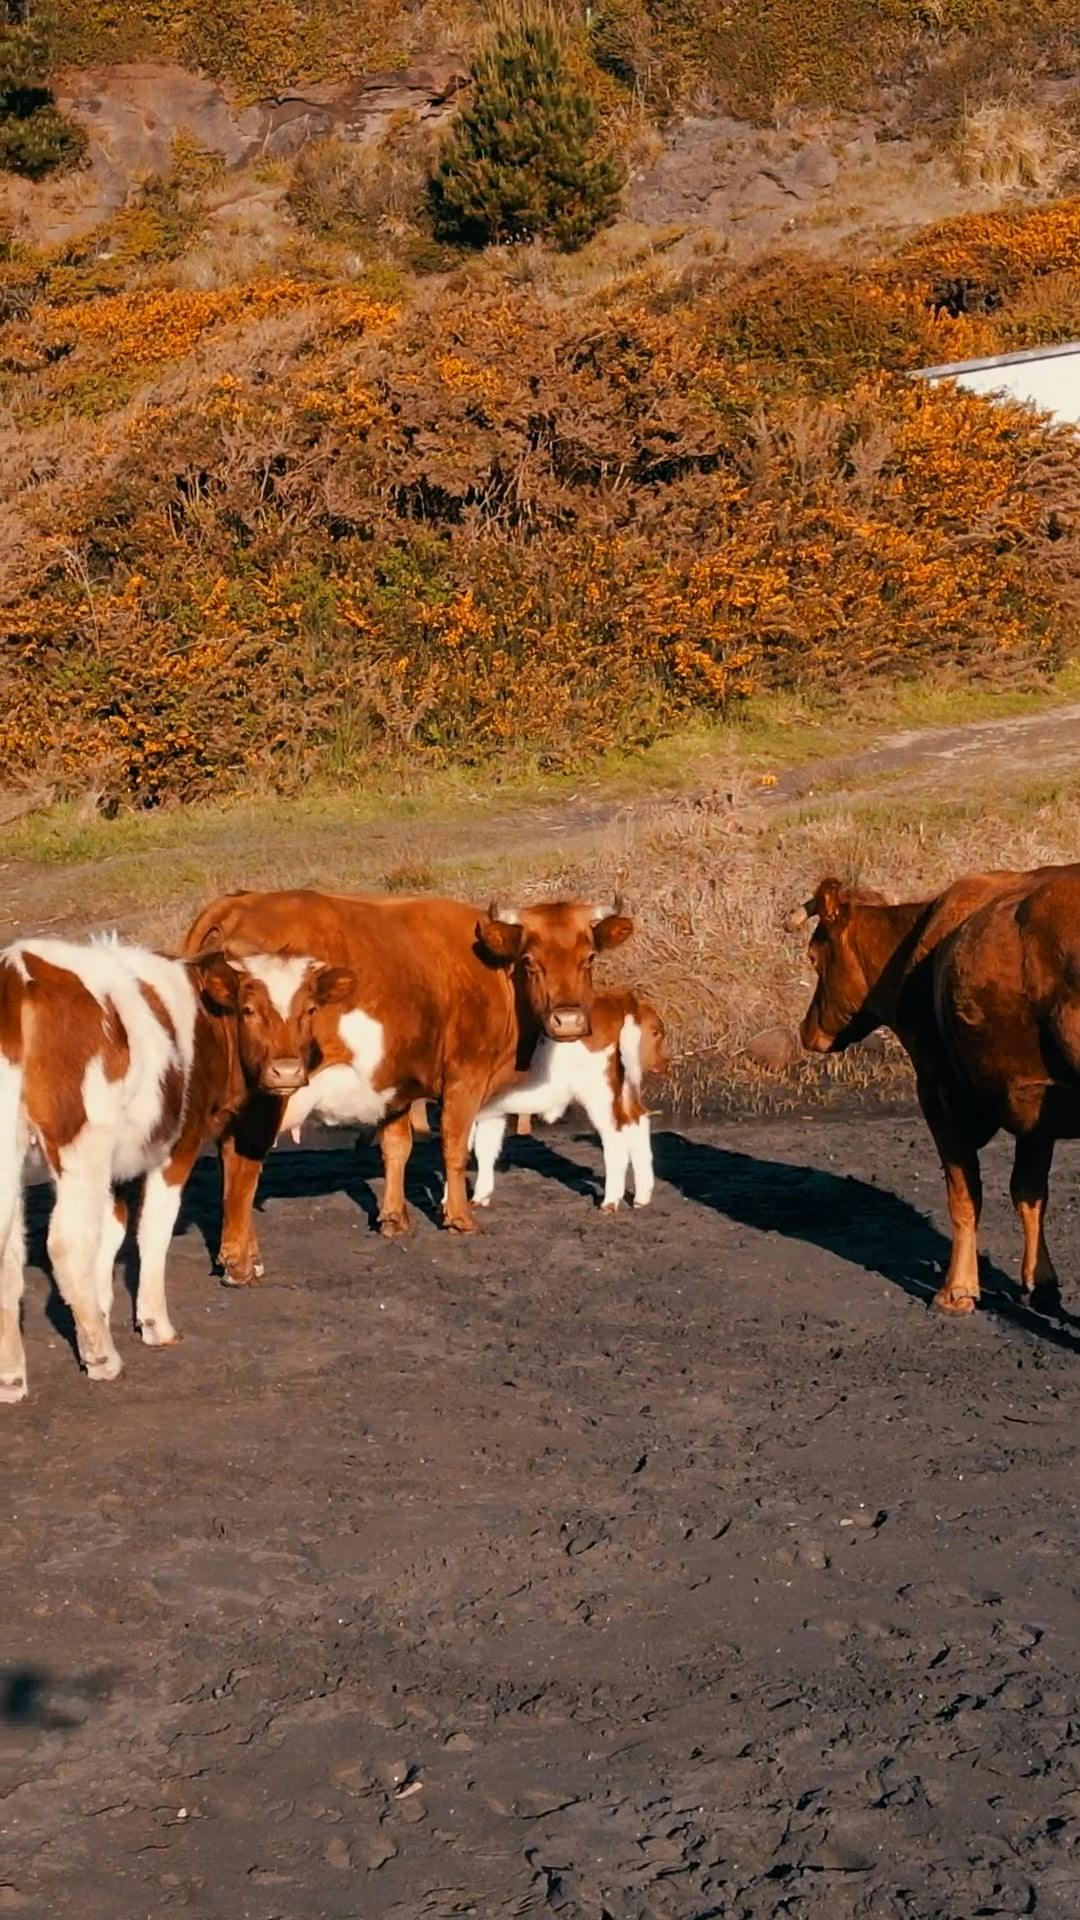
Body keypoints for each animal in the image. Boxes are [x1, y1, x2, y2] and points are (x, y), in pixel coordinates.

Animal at [0, 935, 351, 1400]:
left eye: (309, 1009)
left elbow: (111, 1233)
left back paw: (11, 1376)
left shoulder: (116, 1168)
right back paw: (103, 1359)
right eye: (248, 1009)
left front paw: (97, 1315)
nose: (287, 1070)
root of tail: (19, 969)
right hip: (82, 1146)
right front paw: (152, 1325)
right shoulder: (177, 1146)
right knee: (67, 1245)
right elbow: (152, 1232)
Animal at [181, 888, 635, 1279]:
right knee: (243, 1165)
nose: (568, 1020)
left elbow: (396, 1147)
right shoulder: (465, 1074)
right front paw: (459, 1217)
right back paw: (240, 1261)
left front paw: (394, 1218)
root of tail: (238, 902)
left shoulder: (394, 1082)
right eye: (530, 961)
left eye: (588, 959)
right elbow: (454, 1146)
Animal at [469, 990, 668, 1211]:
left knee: (615, 1136)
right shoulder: (490, 1110)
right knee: (637, 1122)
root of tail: (619, 998)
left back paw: (609, 1202)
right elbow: (484, 1149)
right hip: (625, 1087)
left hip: (599, 1093)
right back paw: (641, 1197)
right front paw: (479, 1197)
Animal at [789, 865, 1080, 1315]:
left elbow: (964, 1196)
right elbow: (1029, 1192)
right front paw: (1041, 1285)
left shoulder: (939, 1093)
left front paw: (956, 1292)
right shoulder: (1033, 1100)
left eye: (812, 958)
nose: (807, 1032)